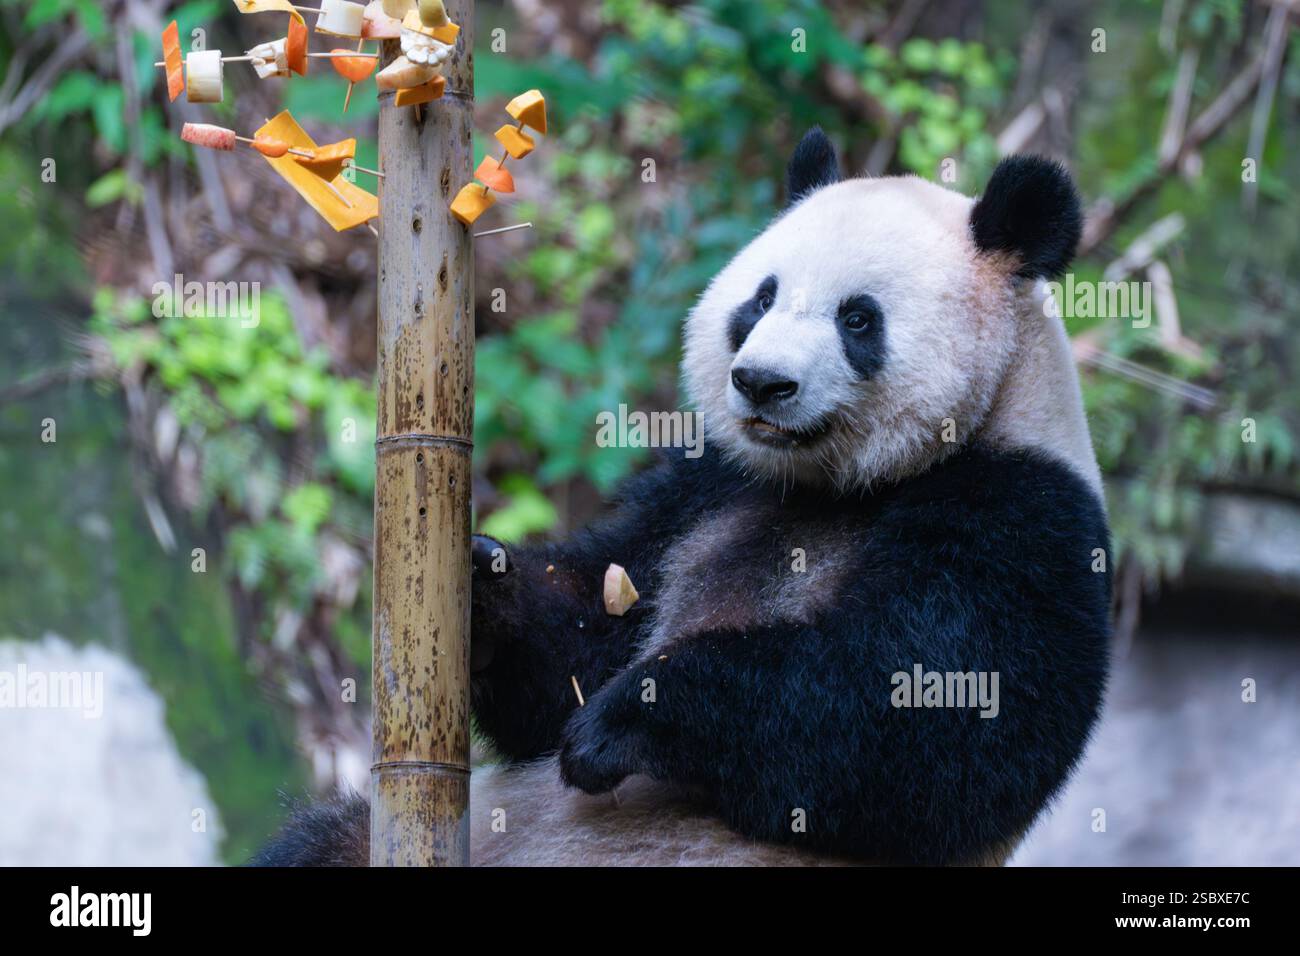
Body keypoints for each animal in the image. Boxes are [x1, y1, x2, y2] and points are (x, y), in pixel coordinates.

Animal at [253, 128, 1111, 867]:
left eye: (858, 318)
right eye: (760, 300)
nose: (762, 382)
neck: (839, 482)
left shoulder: (1025, 515)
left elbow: (926, 717)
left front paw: (627, 718)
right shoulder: (708, 488)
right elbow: (585, 639)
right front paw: (478, 585)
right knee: (322, 846)